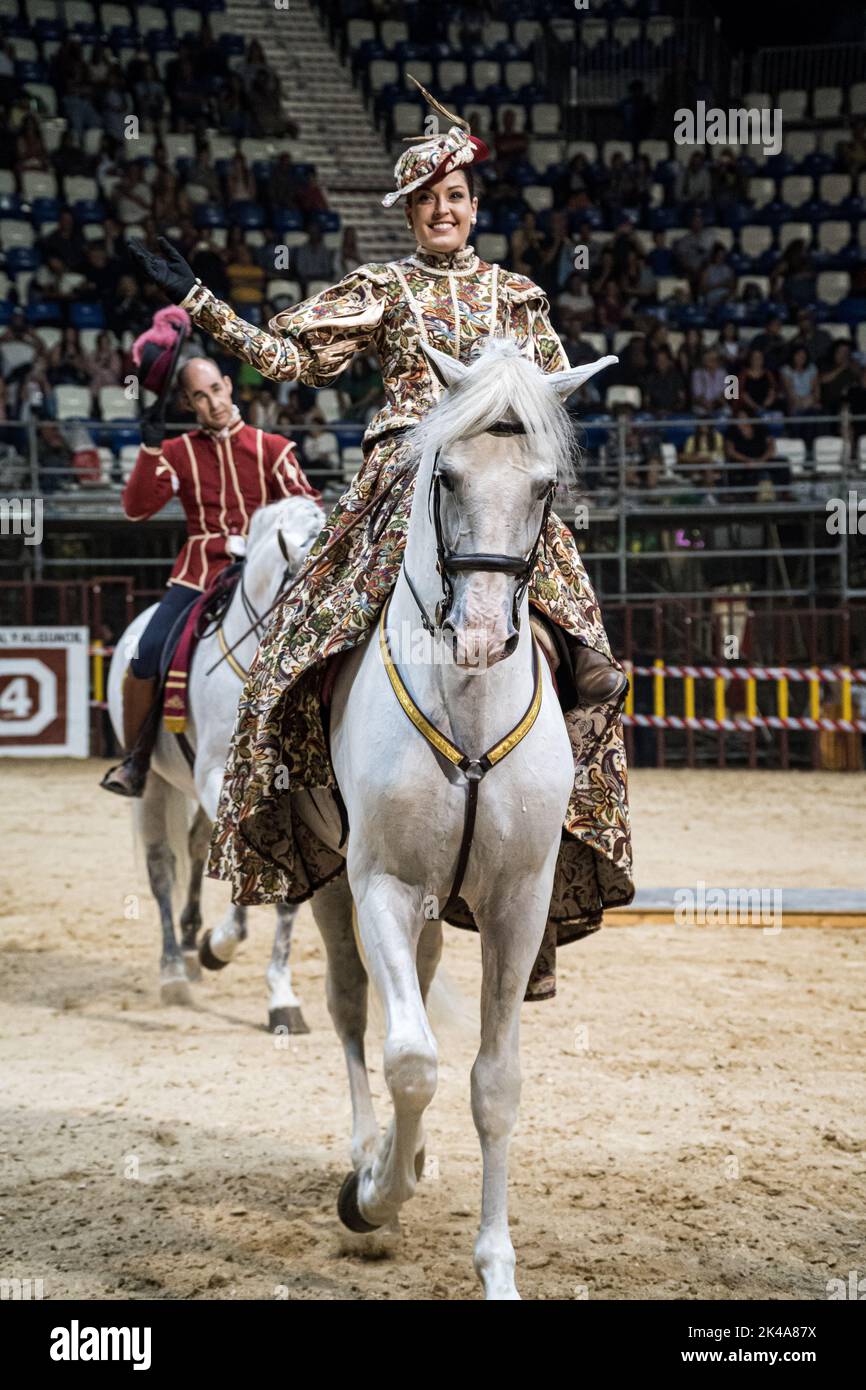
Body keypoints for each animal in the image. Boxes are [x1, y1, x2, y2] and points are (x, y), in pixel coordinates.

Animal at [106, 493, 324, 1027]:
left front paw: (281, 996)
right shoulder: (214, 780)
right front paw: (220, 947)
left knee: (196, 847)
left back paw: (190, 945)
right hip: (153, 786)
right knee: (162, 867)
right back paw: (173, 970)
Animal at [289, 338, 615, 1298]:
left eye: (544, 486)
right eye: (445, 474)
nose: (475, 634)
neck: (466, 709)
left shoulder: (519, 903)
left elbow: (493, 1083)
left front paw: (496, 1265)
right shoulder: (381, 886)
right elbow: (411, 1058)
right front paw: (372, 1197)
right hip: (333, 888)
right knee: (355, 1013)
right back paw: (372, 1158)